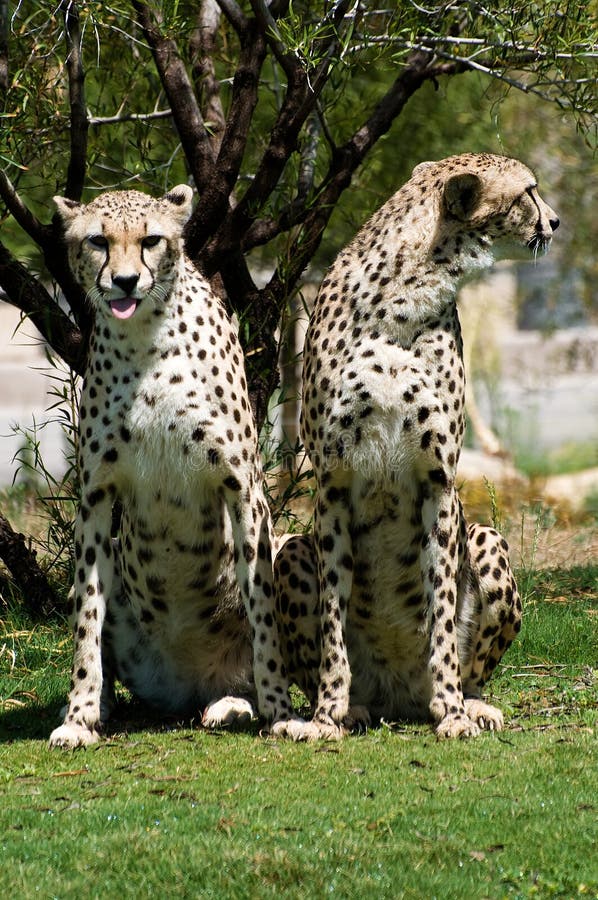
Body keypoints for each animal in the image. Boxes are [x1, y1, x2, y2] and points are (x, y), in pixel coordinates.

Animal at [49, 184, 300, 749]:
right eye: (97, 240)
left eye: (151, 240)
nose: (124, 281)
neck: (145, 337)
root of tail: (192, 688)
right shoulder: (95, 499)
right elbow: (87, 616)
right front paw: (78, 716)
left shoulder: (244, 488)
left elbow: (263, 611)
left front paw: (280, 709)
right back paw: (108, 706)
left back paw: (238, 704)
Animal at [273, 153, 559, 740]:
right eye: (530, 192)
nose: (556, 221)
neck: (404, 296)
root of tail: (397, 697)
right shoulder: (332, 484)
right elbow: (332, 619)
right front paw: (326, 715)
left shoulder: (438, 480)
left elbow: (443, 612)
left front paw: (450, 711)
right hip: (289, 550)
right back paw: (352, 707)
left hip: (489, 537)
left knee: (473, 663)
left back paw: (470, 704)